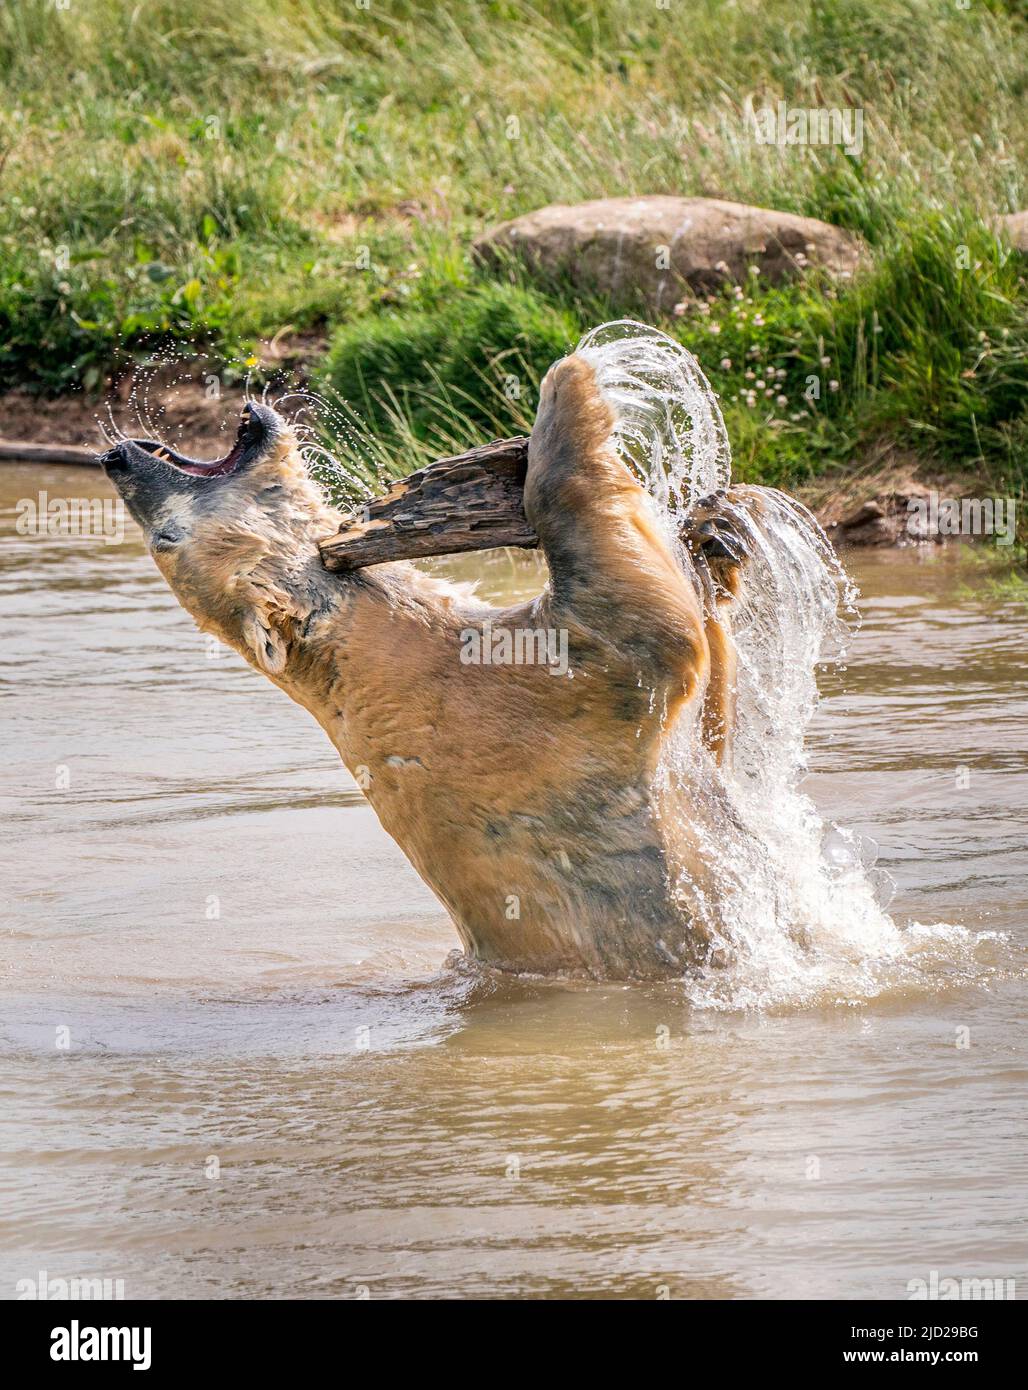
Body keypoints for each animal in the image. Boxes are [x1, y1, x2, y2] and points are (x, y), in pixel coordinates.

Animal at [101, 353, 758, 979]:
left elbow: (713, 722)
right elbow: (644, 627)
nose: (117, 457)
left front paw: (715, 533)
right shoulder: (515, 706)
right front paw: (570, 382)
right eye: (165, 537)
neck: (356, 643)